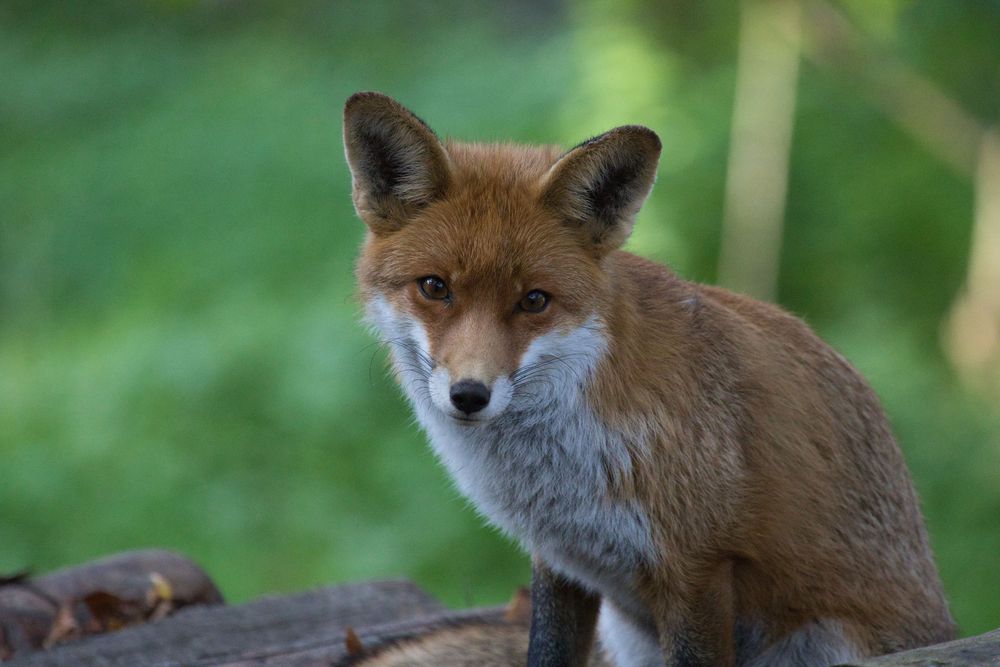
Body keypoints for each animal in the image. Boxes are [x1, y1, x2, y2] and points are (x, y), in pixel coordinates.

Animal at [343, 91, 956, 667]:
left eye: (534, 300)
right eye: (435, 287)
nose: (469, 395)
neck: (561, 470)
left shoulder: (696, 565)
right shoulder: (561, 561)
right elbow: (546, 652)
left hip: (822, 641)